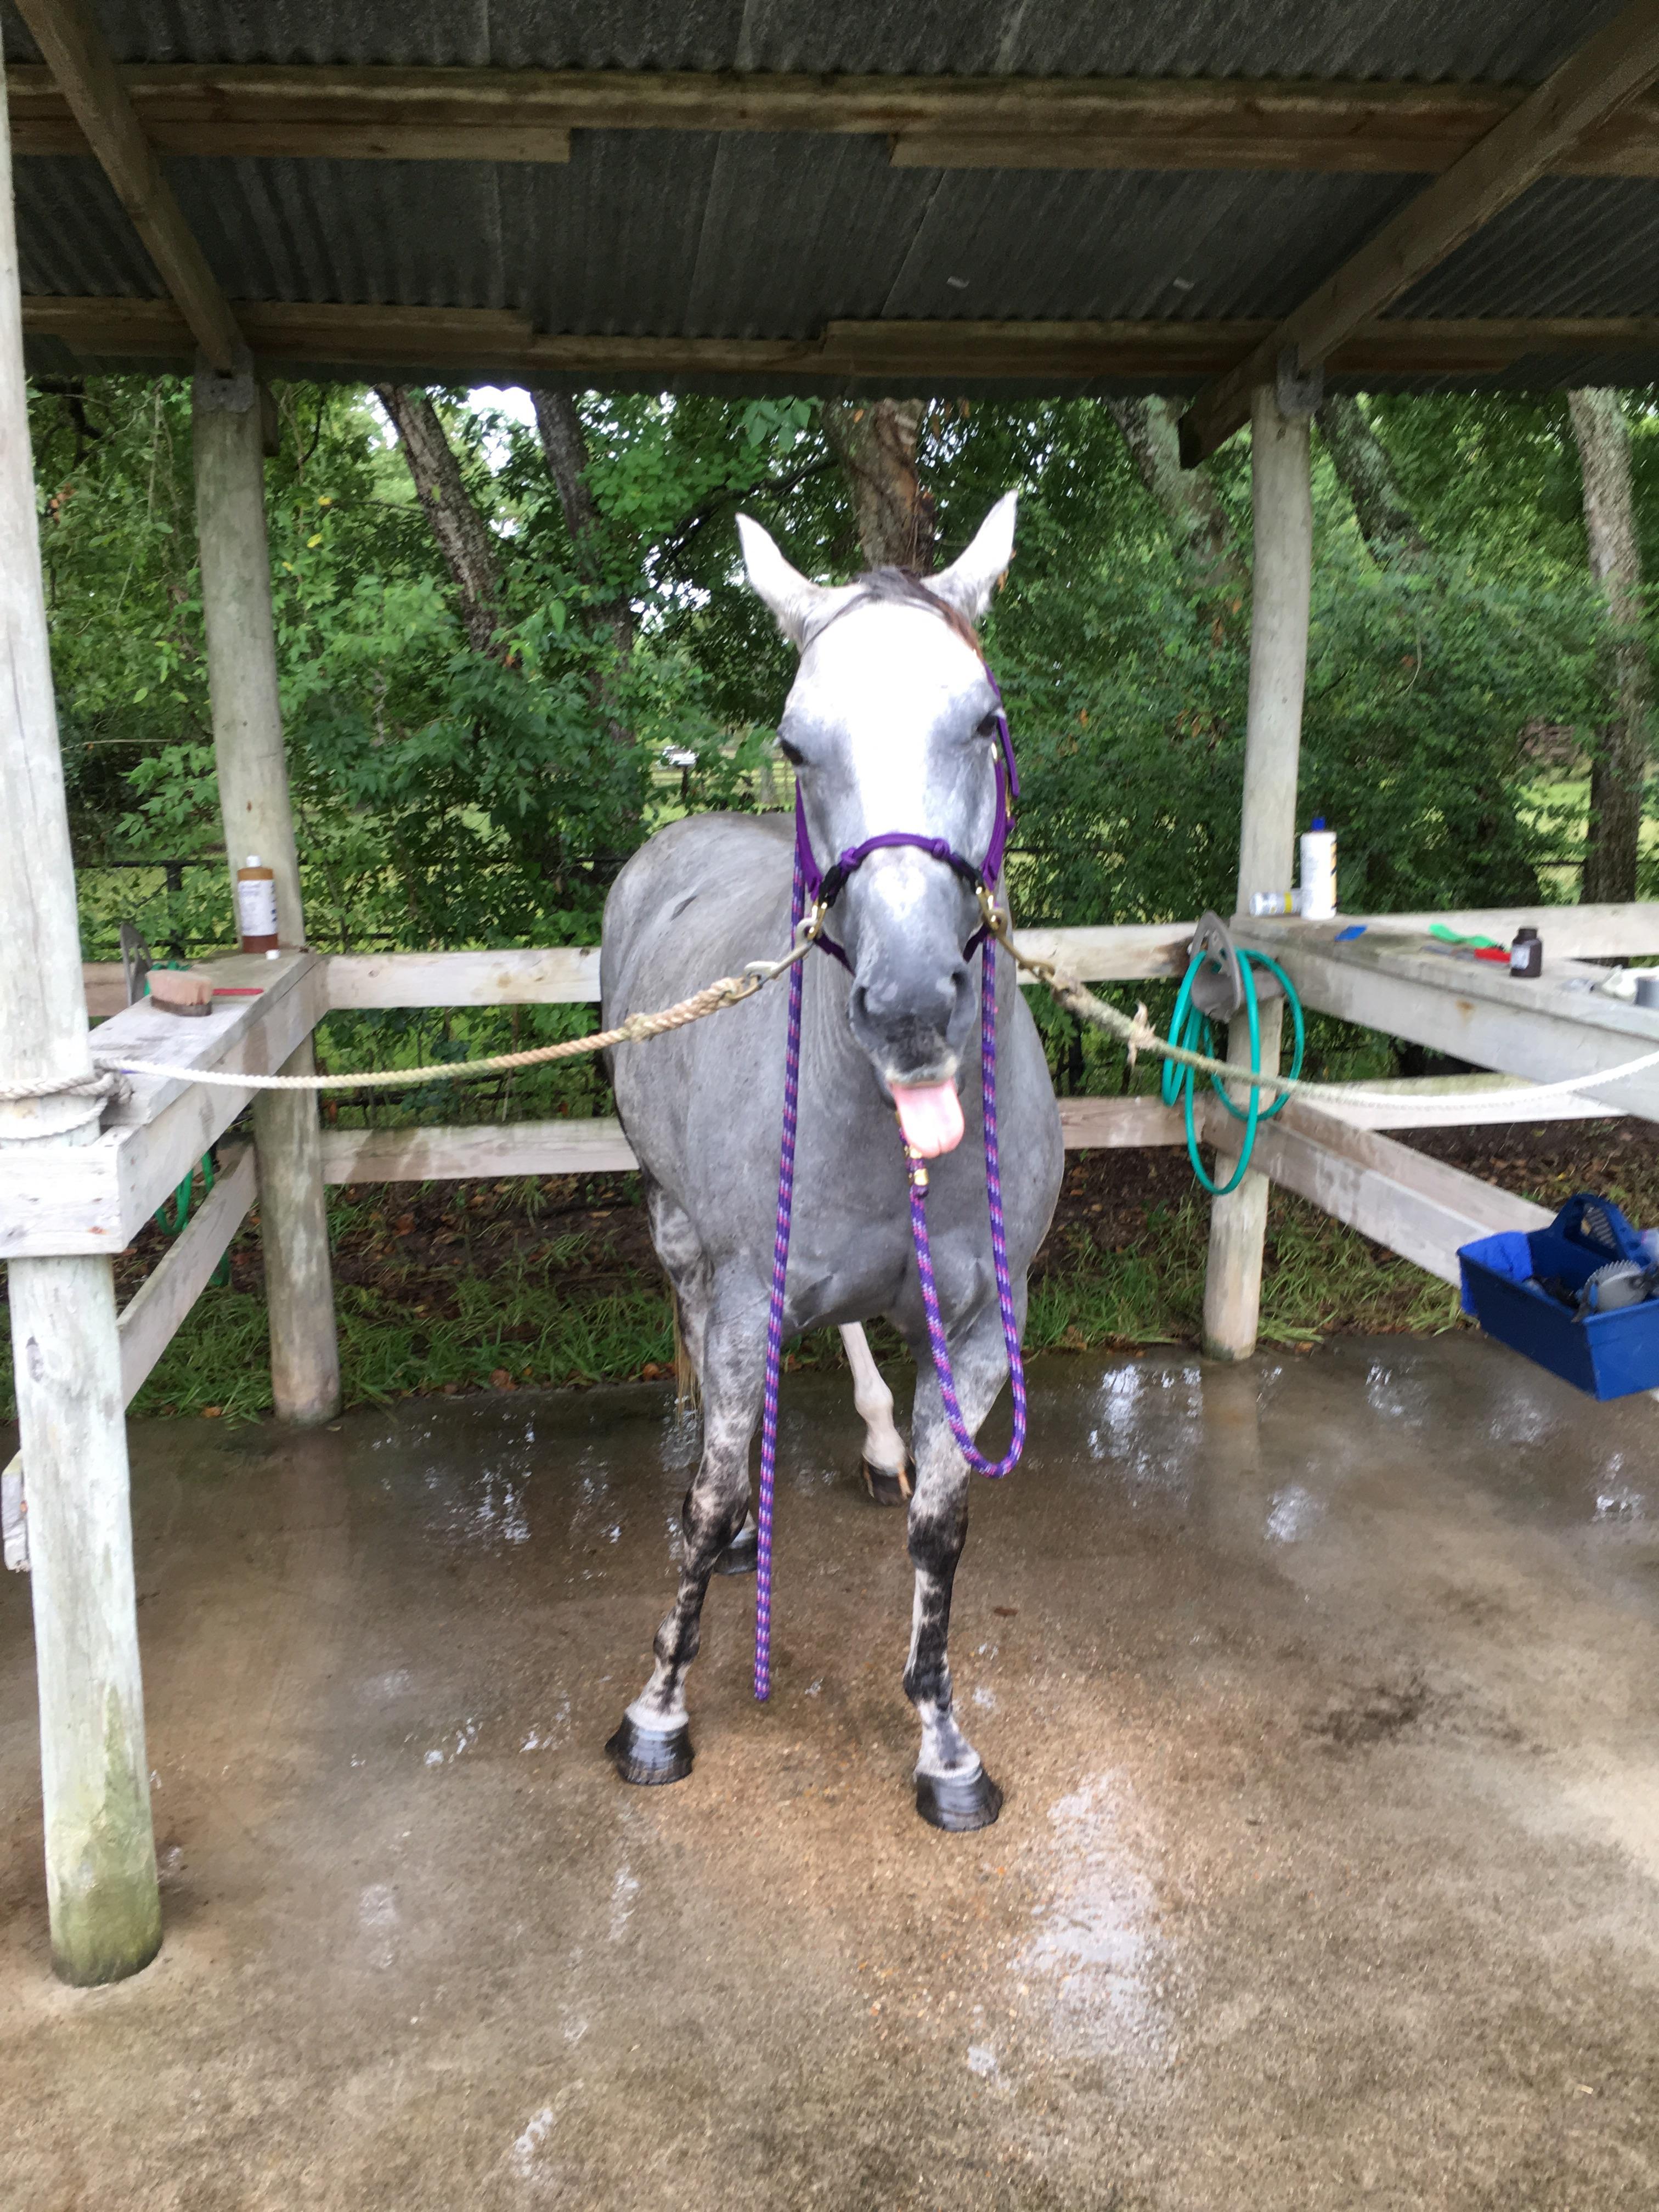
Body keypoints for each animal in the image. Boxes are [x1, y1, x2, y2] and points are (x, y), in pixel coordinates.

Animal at [599, 496, 1063, 1829]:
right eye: (797, 744)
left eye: (984, 721)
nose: (908, 1006)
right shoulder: (746, 1299)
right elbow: (707, 1500)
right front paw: (658, 1712)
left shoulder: (978, 1330)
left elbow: (943, 1530)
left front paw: (945, 1744)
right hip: (674, 1222)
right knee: (691, 1324)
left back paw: (870, 1440)